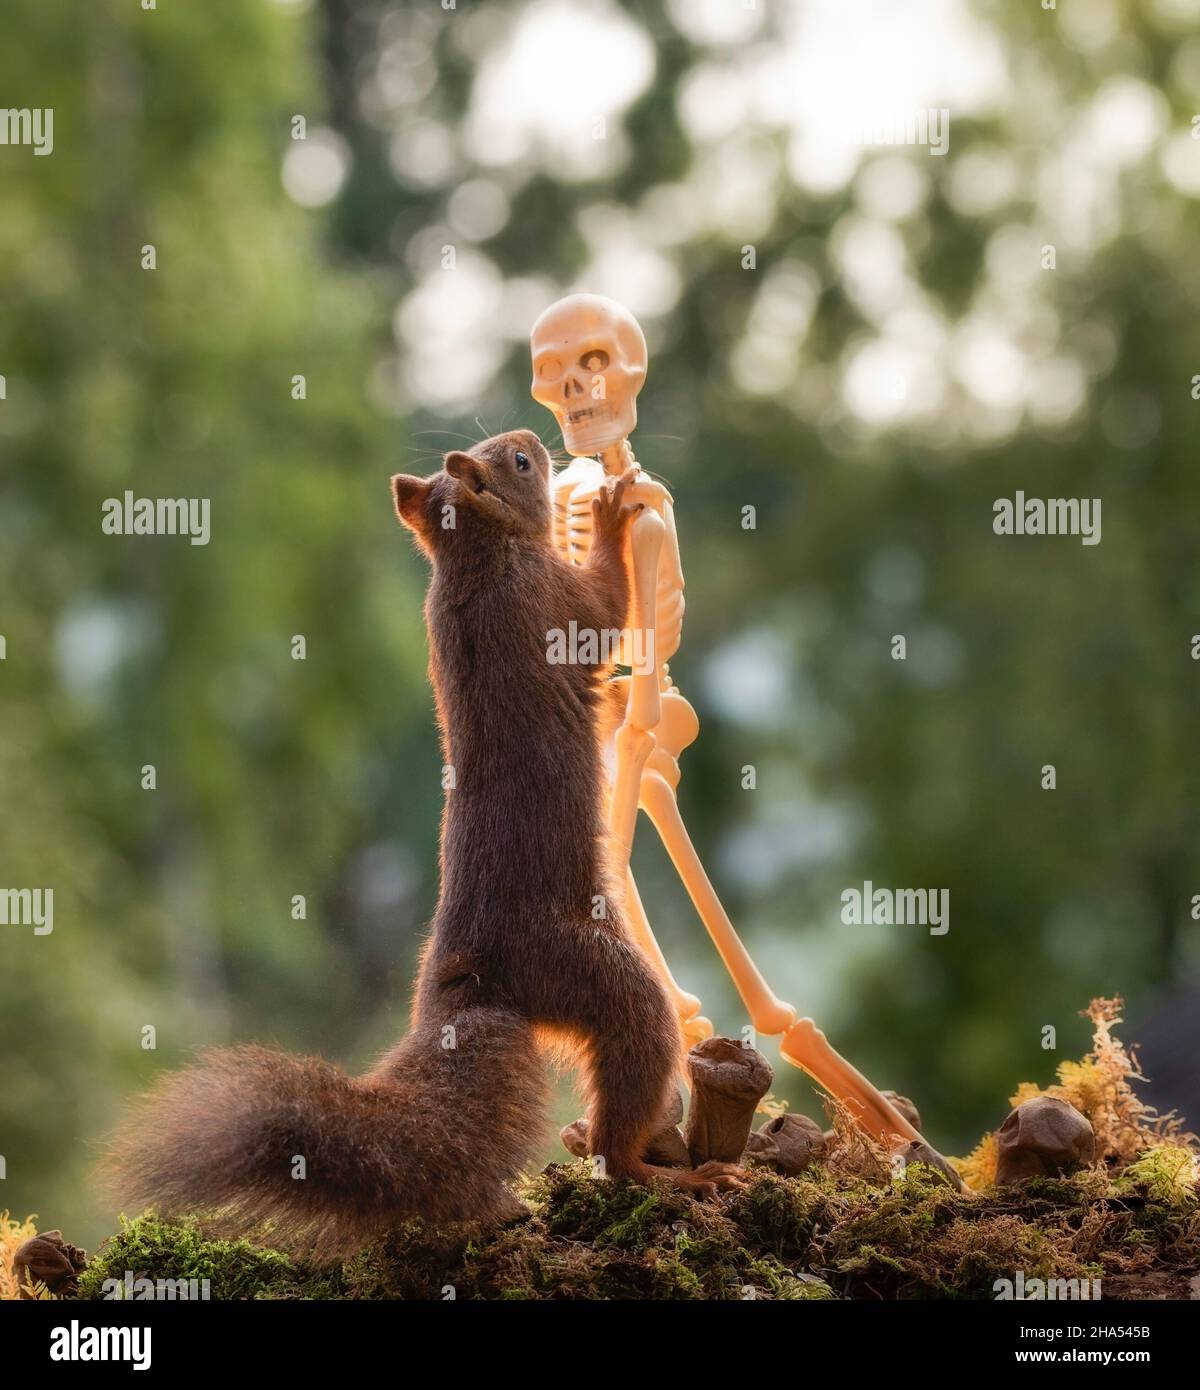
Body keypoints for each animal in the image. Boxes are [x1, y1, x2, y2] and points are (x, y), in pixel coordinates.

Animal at [103, 429, 741, 1261]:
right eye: (520, 465)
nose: (532, 438)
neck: (479, 557)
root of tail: (468, 979)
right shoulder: (554, 604)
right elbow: (605, 607)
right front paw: (605, 515)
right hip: (596, 973)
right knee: (621, 1112)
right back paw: (663, 1174)